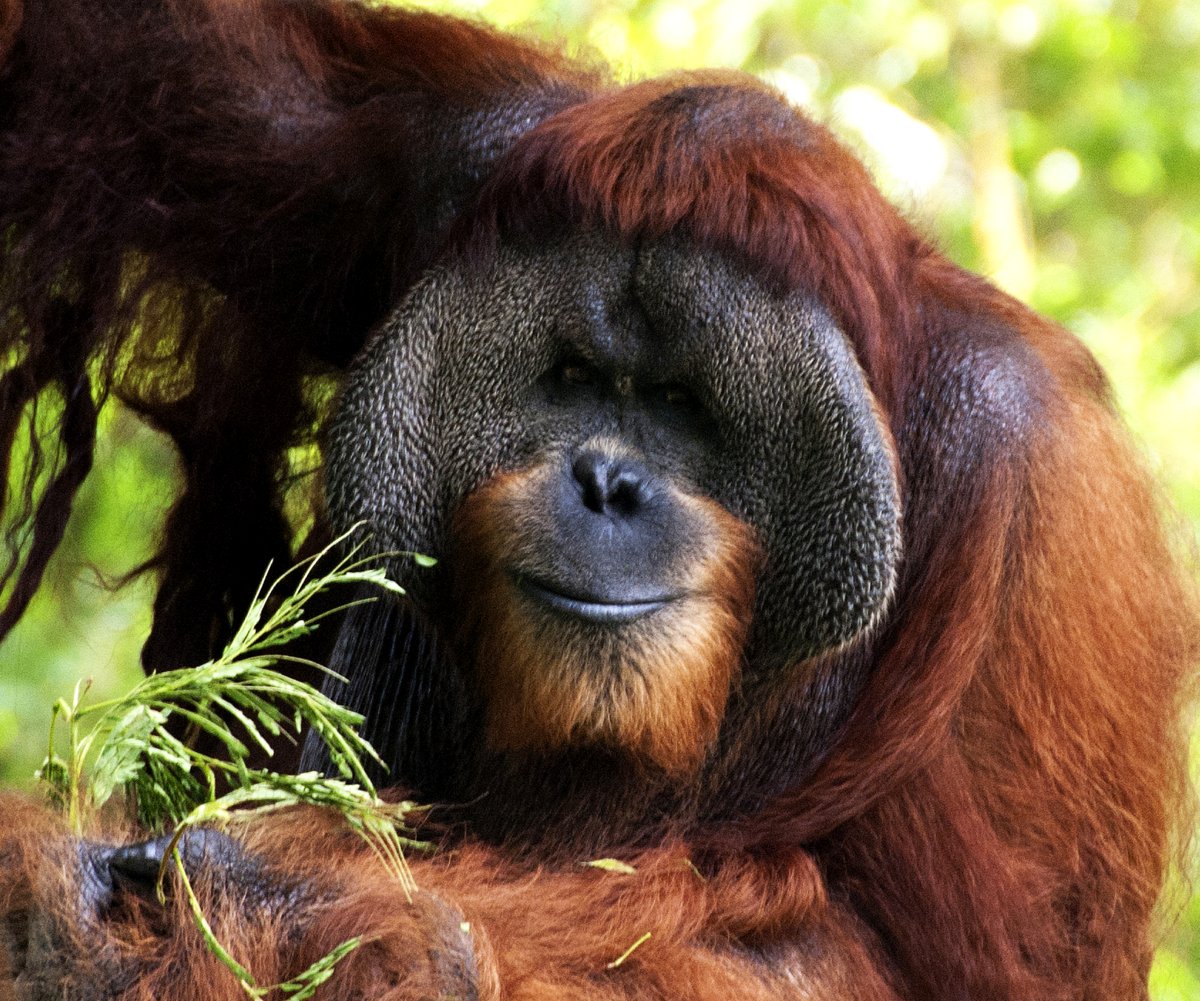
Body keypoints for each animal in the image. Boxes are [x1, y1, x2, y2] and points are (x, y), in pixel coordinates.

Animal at [0, 1, 1195, 999]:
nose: (608, 480)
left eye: (678, 402)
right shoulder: (407, 155)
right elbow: (130, 63)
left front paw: (259, 887)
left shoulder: (1044, 509)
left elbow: (917, 952)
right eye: (573, 376)